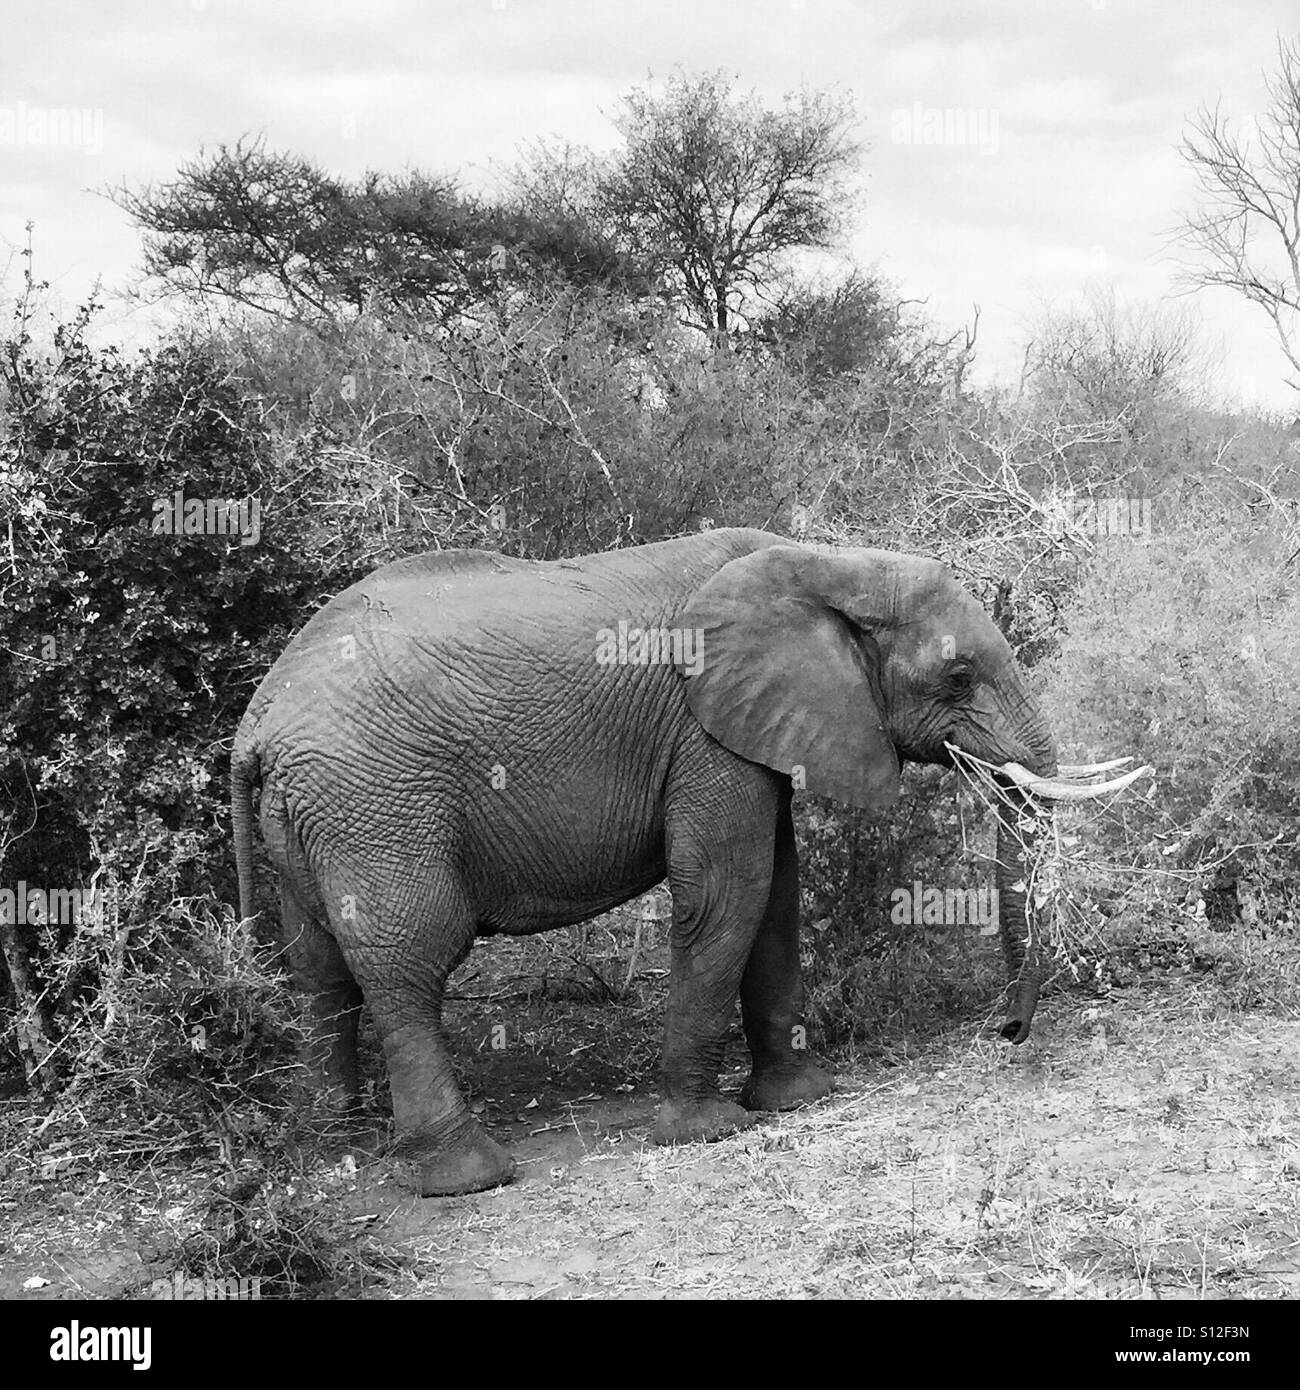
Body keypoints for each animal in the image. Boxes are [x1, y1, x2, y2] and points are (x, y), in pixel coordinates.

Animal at [231, 528, 1143, 1196]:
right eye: (957, 675)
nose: (1006, 1031)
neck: (827, 562)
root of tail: (257, 721)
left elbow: (776, 898)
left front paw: (799, 1099)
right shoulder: (704, 732)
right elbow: (728, 895)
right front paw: (705, 1131)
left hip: (316, 816)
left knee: (320, 973)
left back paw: (338, 1144)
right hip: (375, 803)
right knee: (409, 964)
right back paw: (470, 1177)